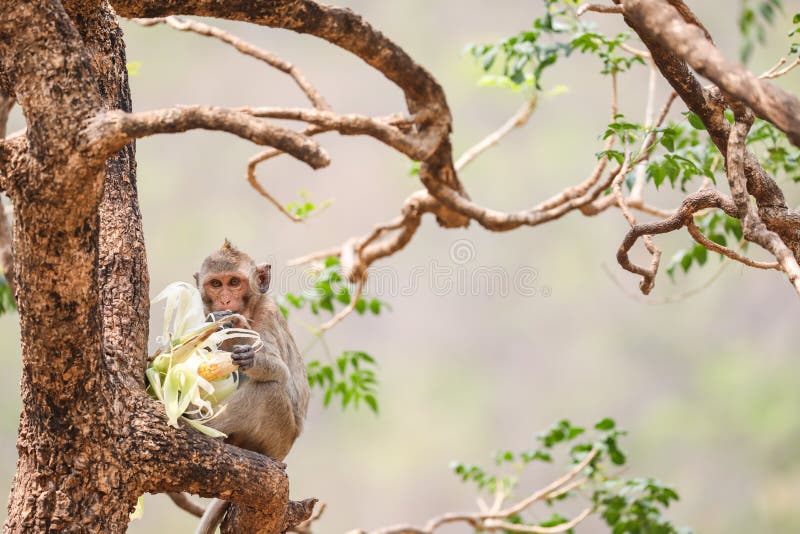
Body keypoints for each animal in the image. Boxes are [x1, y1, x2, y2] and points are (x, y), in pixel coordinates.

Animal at [191, 239, 309, 534]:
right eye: (216, 284)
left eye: (234, 282)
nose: (225, 300)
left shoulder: (268, 315)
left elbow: (283, 375)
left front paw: (242, 341)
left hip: (278, 434)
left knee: (269, 391)